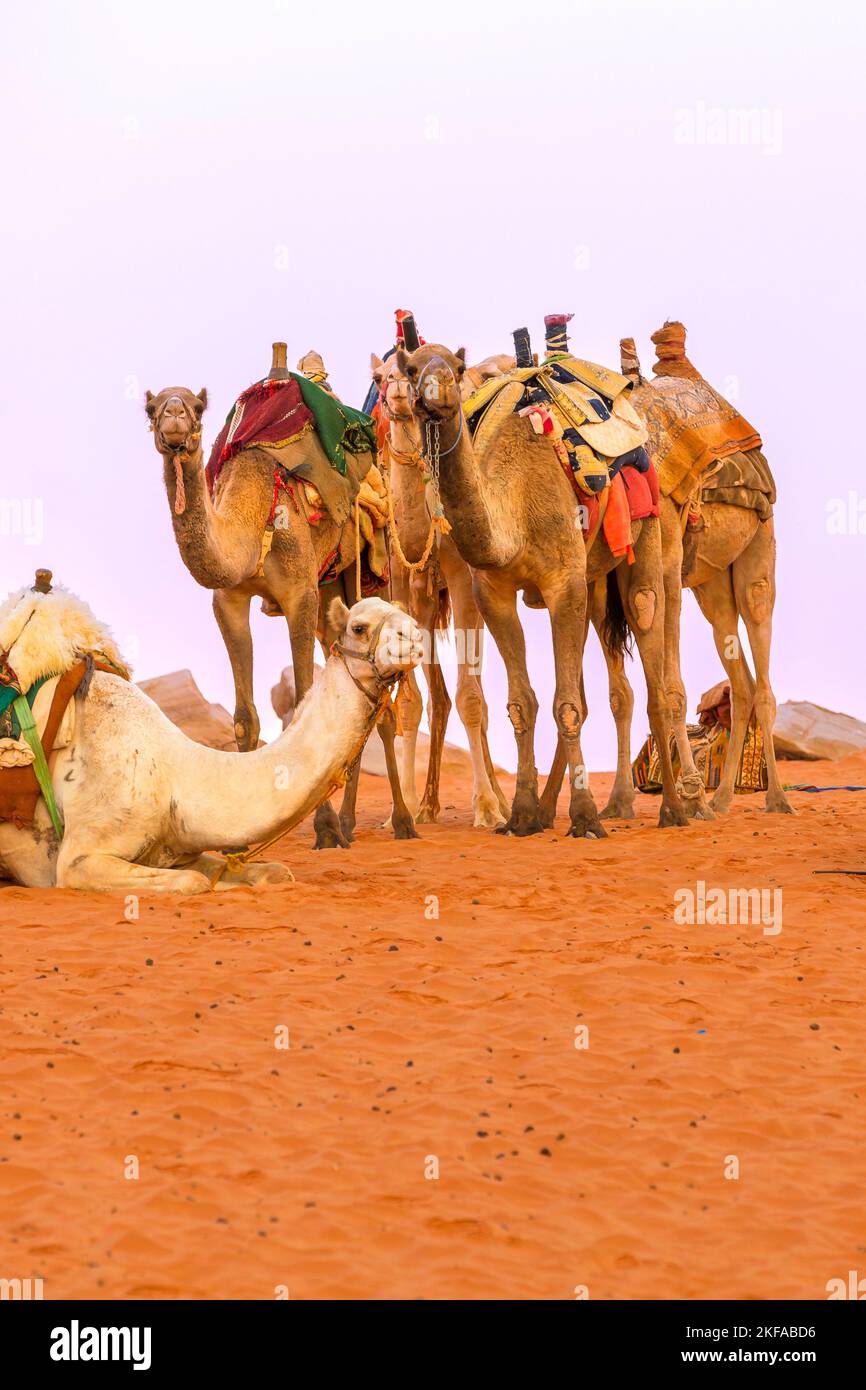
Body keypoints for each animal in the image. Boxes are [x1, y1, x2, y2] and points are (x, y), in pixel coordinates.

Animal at [0, 591, 422, 893]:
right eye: (359, 627)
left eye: (401, 613)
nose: (416, 636)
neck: (174, 774)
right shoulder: (78, 859)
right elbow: (195, 883)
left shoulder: (177, 849)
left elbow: (270, 872)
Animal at [145, 358, 418, 849]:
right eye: (151, 408)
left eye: (197, 406)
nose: (173, 418)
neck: (251, 518)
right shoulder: (229, 601)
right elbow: (244, 720)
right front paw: (241, 834)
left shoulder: (299, 594)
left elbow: (302, 708)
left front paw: (323, 829)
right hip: (331, 595)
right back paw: (350, 822)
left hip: (372, 570)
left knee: (384, 708)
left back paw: (401, 822)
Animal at [370, 348, 509, 828]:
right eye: (381, 375)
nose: (398, 389)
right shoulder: (404, 580)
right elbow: (413, 701)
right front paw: (406, 809)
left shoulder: (463, 580)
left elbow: (472, 698)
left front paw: (487, 808)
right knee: (440, 696)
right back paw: (430, 803)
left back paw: (501, 800)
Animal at [394, 341, 688, 836]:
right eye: (412, 369)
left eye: (457, 368)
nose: (434, 393)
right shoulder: (494, 592)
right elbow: (524, 703)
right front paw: (522, 814)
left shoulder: (561, 584)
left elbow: (566, 704)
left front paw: (585, 816)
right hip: (592, 581)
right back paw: (552, 808)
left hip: (646, 539)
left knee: (651, 649)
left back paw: (677, 808)